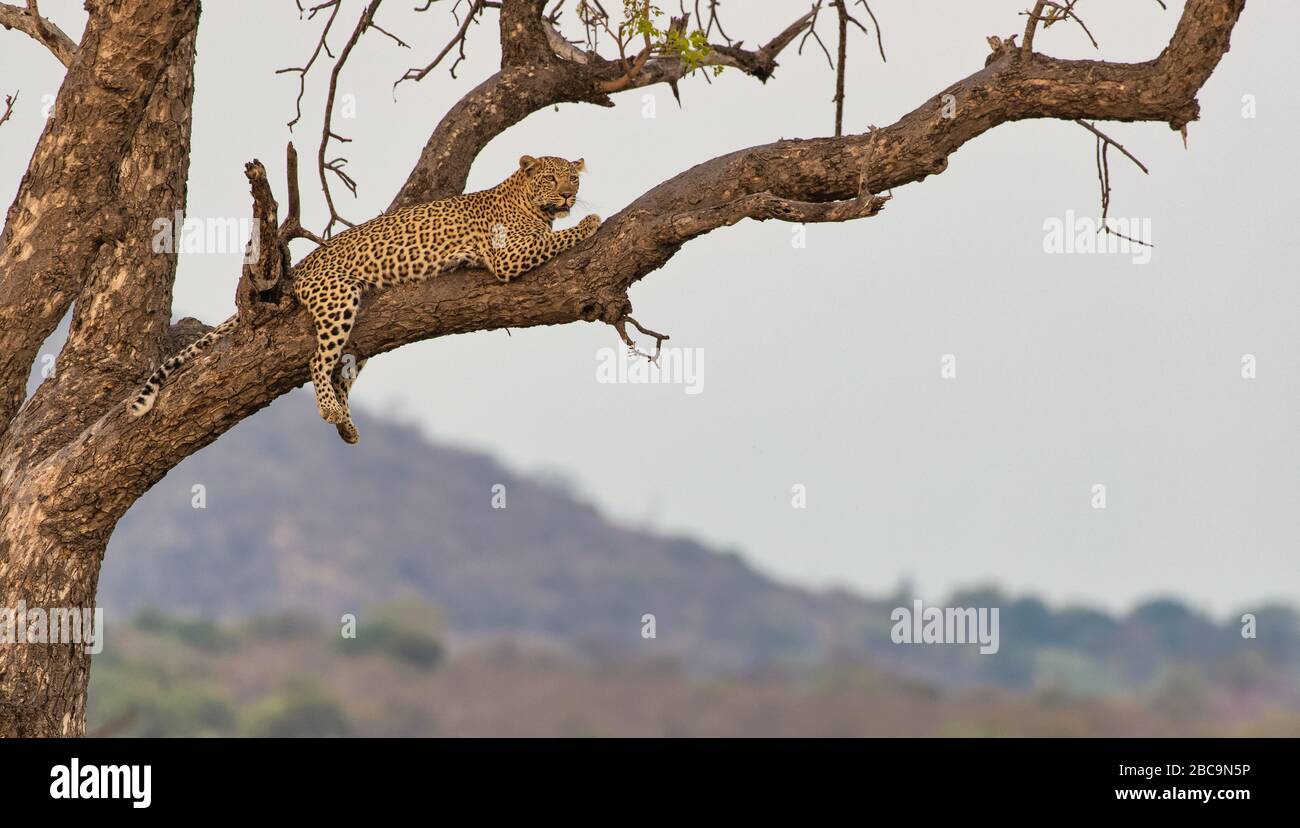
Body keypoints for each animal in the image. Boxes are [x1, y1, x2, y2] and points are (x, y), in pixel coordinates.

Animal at [129, 155, 599, 444]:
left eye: (573, 178)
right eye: (550, 177)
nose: (568, 195)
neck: (530, 204)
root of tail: (302, 264)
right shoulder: (507, 257)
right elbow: (553, 239)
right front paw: (591, 221)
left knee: (341, 373)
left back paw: (347, 425)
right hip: (340, 299)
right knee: (318, 362)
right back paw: (329, 412)